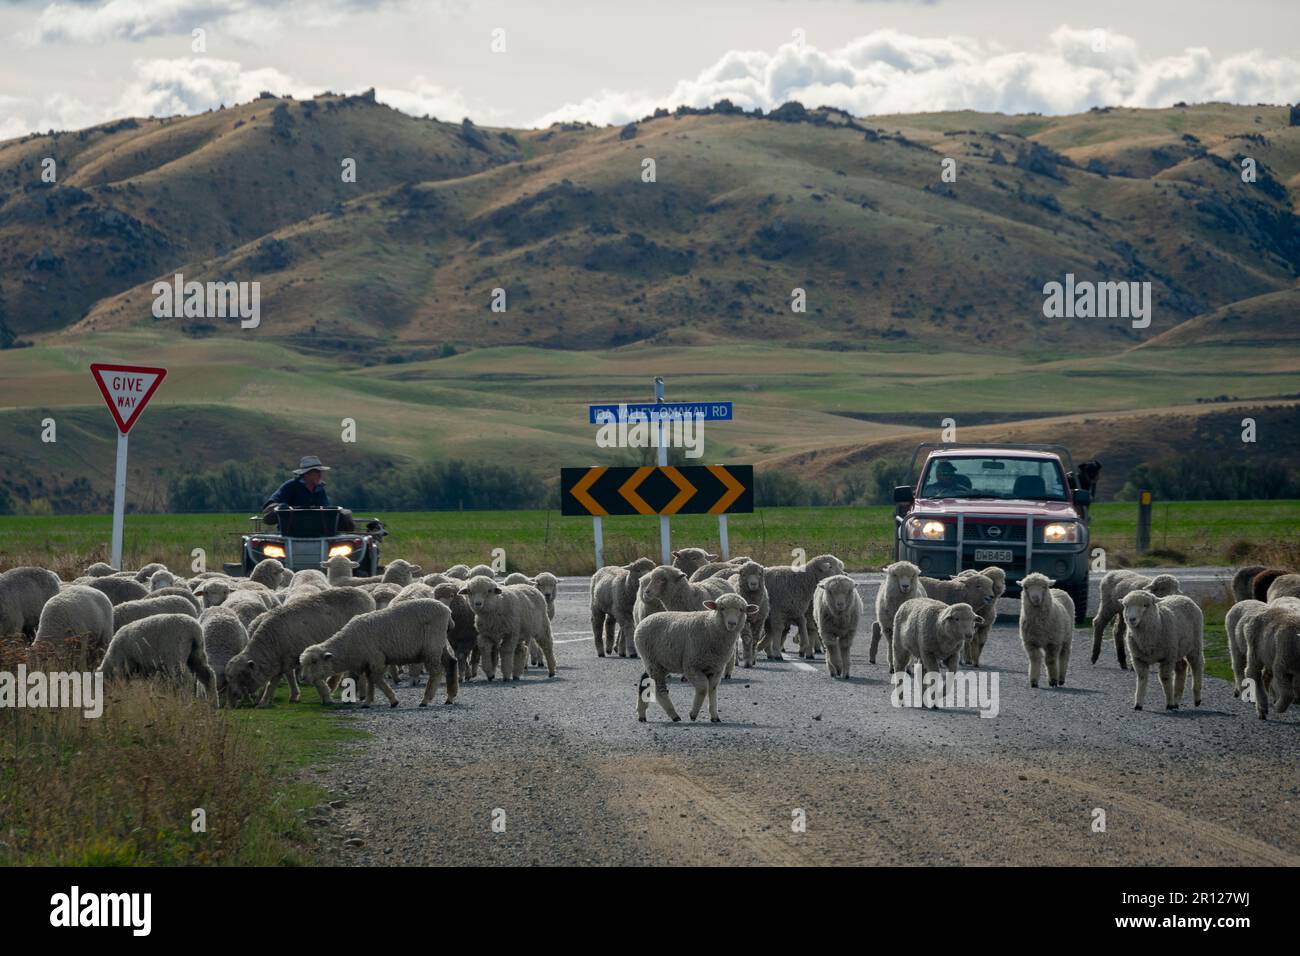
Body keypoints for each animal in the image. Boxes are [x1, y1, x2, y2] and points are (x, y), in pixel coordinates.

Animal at [225, 587, 376, 707]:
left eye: (241, 675)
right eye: (229, 677)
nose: (234, 694)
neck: (272, 642)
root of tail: (365, 594)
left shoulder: (306, 654)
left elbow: (313, 678)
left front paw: (327, 698)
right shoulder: (283, 660)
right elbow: (277, 681)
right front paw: (266, 701)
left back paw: (361, 693)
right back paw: (333, 685)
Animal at [299, 599, 459, 707]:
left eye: (314, 662)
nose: (303, 678)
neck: (348, 645)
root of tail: (447, 611)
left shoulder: (377, 659)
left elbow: (376, 679)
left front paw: (393, 700)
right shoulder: (367, 663)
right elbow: (371, 680)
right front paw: (368, 702)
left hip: (432, 647)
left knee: (437, 671)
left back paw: (425, 700)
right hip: (439, 644)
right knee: (451, 663)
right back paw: (450, 697)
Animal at [634, 593, 758, 722]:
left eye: (741, 610)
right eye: (722, 608)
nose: (732, 623)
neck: (710, 626)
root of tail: (642, 623)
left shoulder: (716, 668)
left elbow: (712, 689)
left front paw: (714, 716)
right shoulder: (691, 666)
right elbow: (703, 688)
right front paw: (693, 714)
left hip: (659, 662)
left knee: (644, 682)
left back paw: (642, 714)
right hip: (652, 661)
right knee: (658, 688)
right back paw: (674, 715)